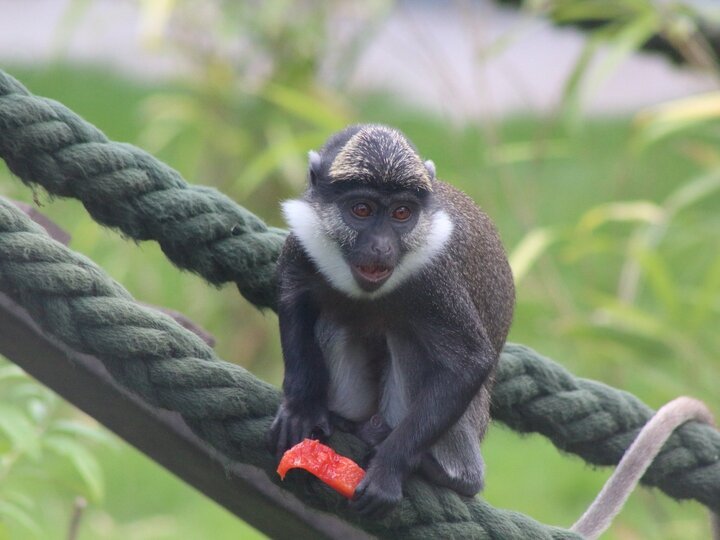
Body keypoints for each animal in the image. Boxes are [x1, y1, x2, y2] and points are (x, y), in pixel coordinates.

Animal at [267, 124, 515, 517]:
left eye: (401, 213)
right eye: (362, 209)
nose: (382, 246)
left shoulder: (436, 279)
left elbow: (468, 362)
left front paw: (389, 468)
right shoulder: (301, 244)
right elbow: (295, 299)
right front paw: (302, 406)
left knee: (407, 335)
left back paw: (451, 474)